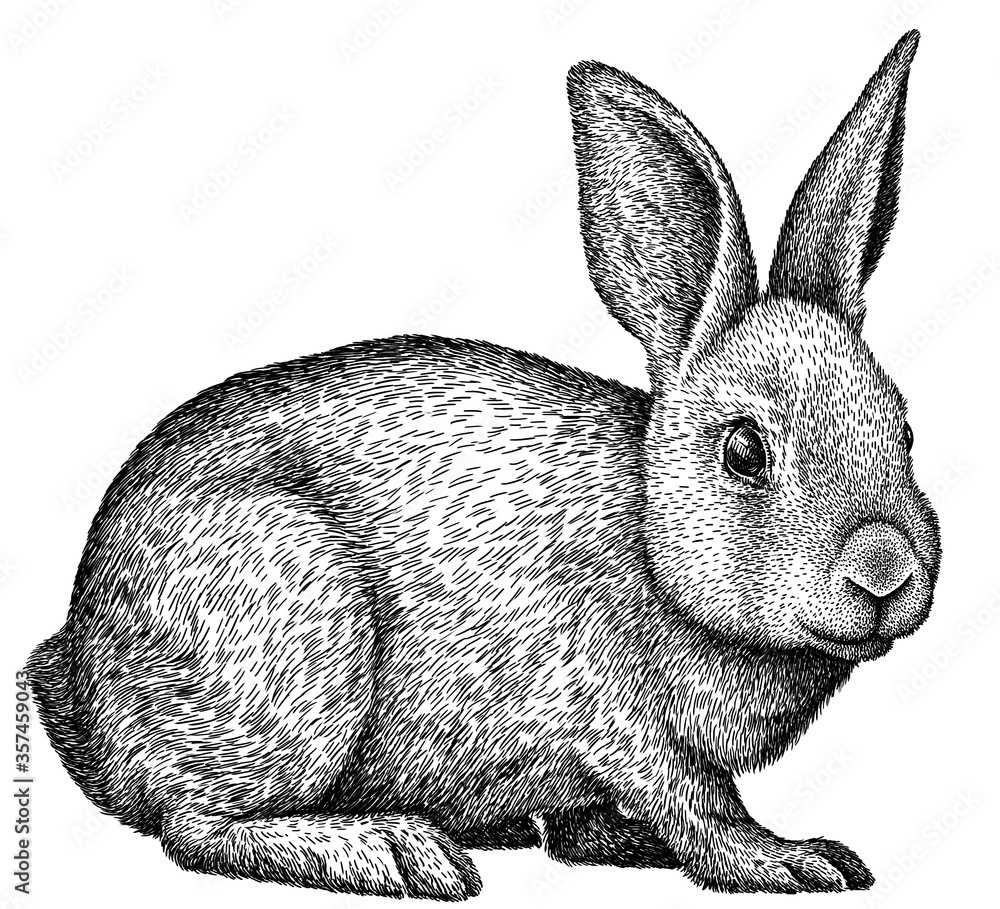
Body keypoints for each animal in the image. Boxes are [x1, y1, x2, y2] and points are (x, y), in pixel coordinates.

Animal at [27, 29, 940, 898]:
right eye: (745, 450)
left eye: (904, 431)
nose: (884, 570)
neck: (650, 542)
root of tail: (80, 672)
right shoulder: (613, 710)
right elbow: (695, 800)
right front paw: (792, 860)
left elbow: (592, 824)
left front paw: (623, 841)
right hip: (293, 637)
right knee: (195, 824)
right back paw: (395, 850)